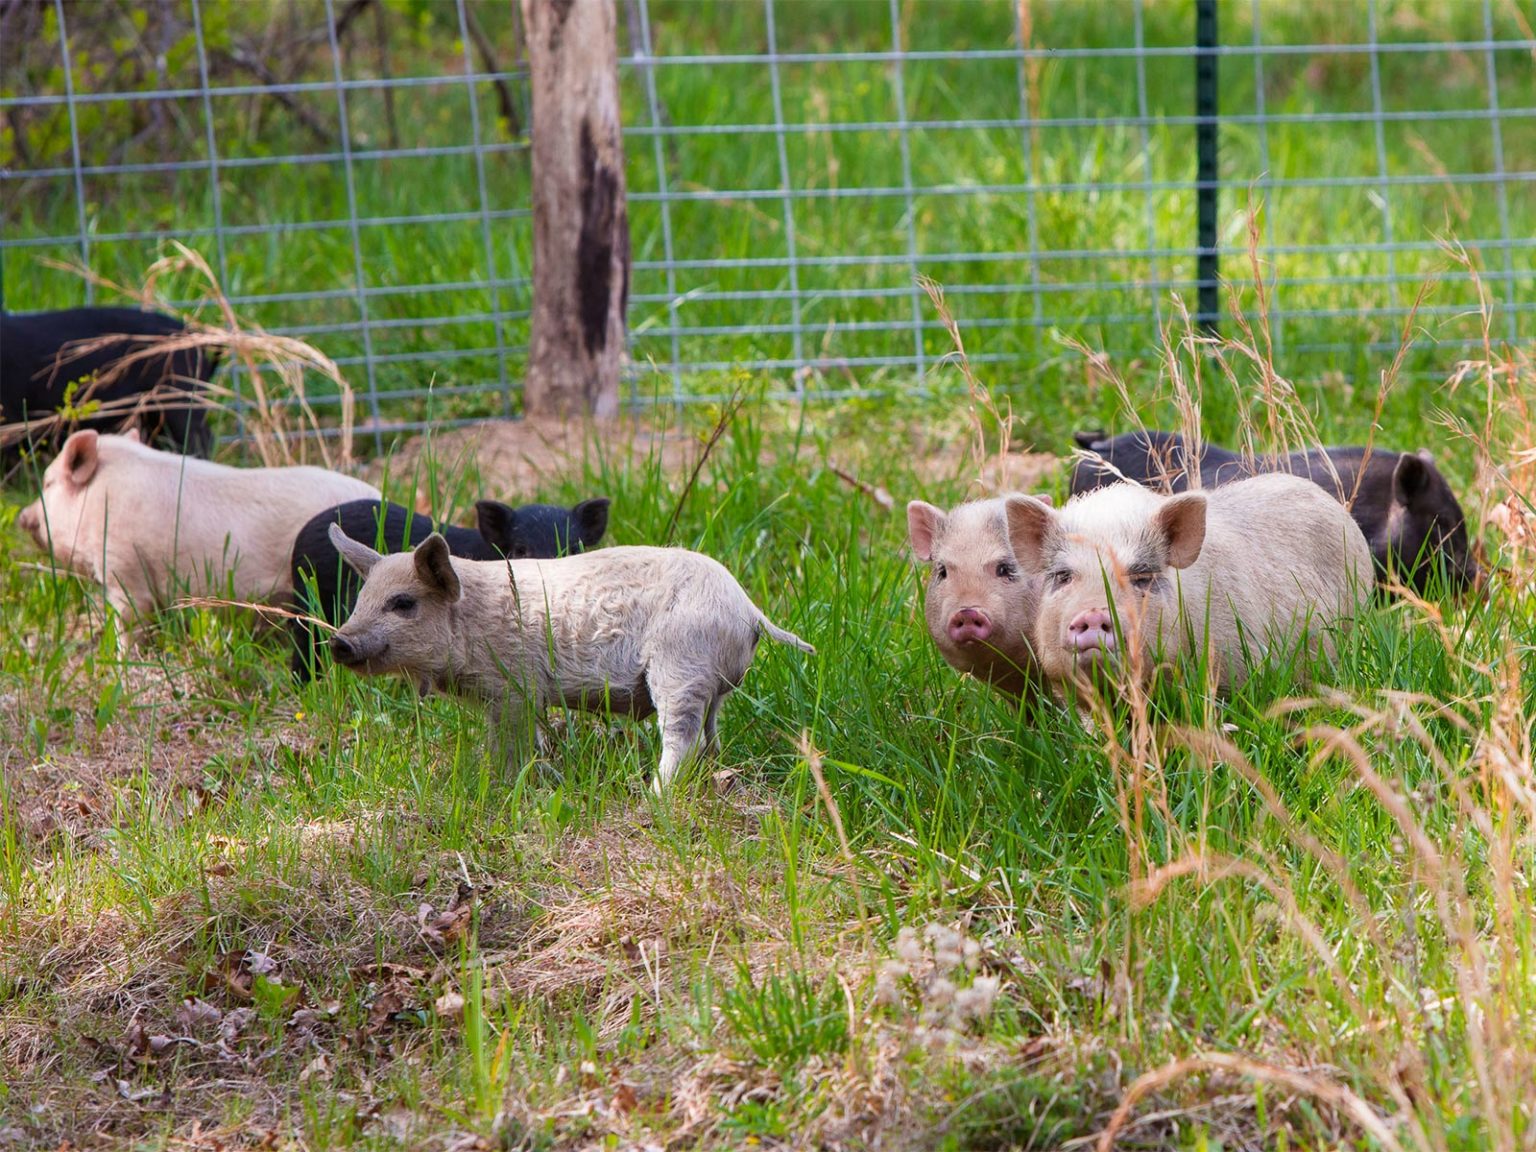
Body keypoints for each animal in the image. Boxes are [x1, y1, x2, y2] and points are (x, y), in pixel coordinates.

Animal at [325, 525, 815, 792]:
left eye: (403, 603)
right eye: (362, 599)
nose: (338, 643)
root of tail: (748, 608)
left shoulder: (517, 687)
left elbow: (512, 744)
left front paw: (504, 785)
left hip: (681, 663)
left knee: (682, 737)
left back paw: (651, 796)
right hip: (714, 685)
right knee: (710, 735)